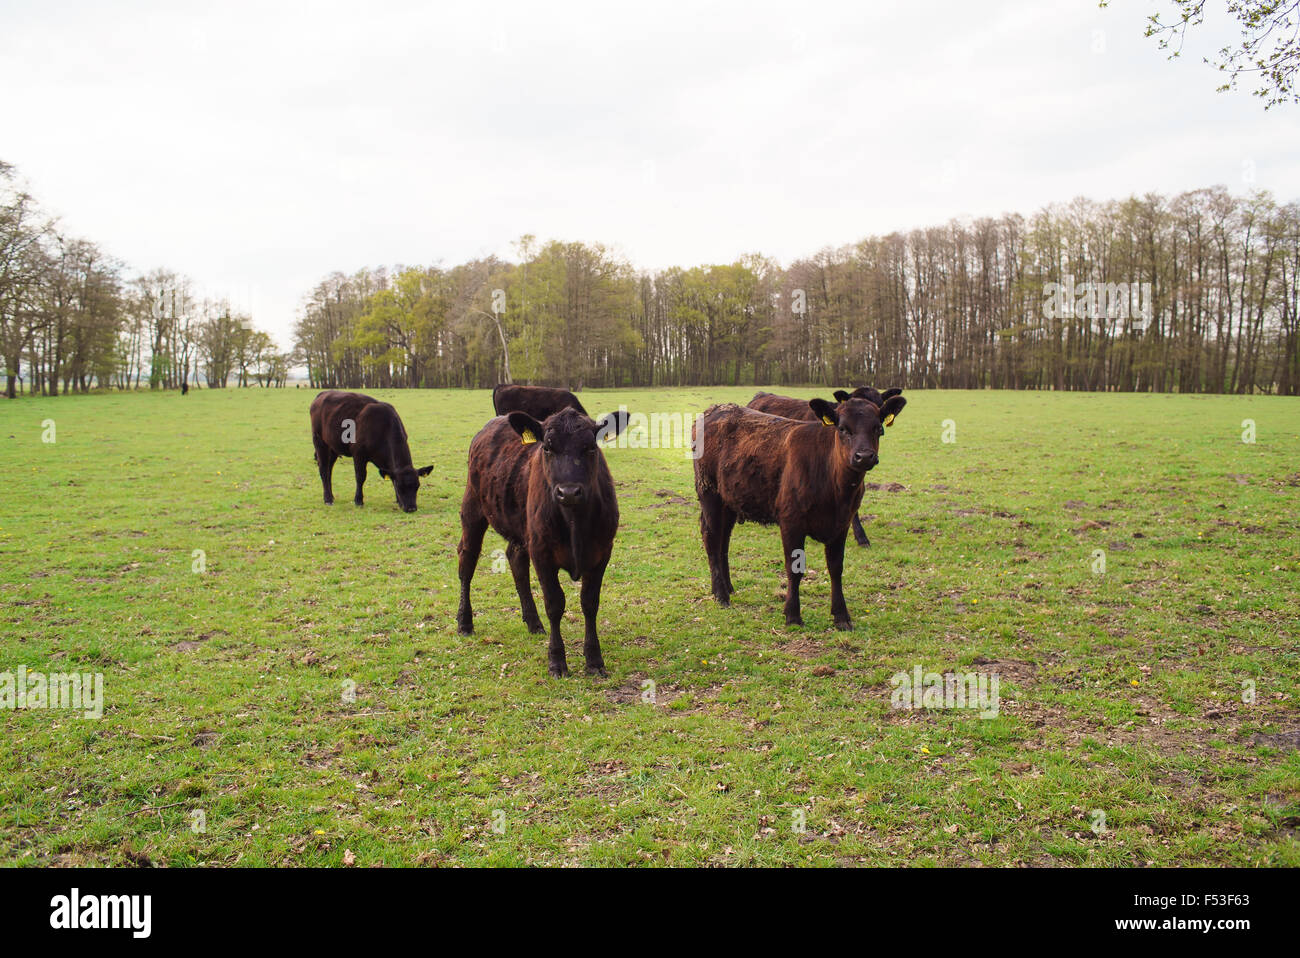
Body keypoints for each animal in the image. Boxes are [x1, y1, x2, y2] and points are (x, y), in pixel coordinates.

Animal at [457, 406, 629, 677]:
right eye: (547, 447)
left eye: (591, 447)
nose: (568, 492)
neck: (574, 521)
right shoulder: (542, 553)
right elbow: (555, 604)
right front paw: (557, 661)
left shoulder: (602, 552)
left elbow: (590, 603)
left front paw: (594, 660)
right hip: (473, 508)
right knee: (467, 561)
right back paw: (465, 622)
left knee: (515, 559)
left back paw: (533, 621)